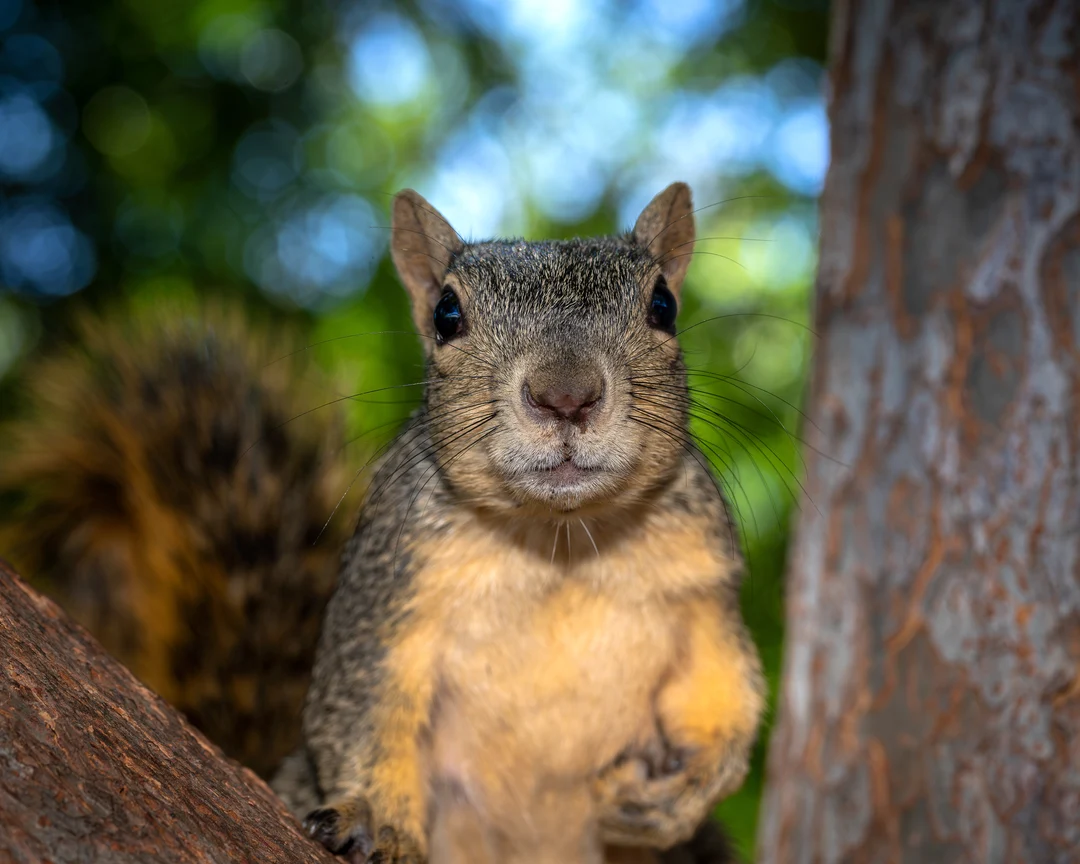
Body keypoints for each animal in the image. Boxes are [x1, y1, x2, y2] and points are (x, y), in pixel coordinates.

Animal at [0, 182, 764, 863]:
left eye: (663, 304)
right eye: (447, 314)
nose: (566, 396)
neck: (560, 541)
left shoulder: (703, 581)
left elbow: (727, 693)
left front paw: (682, 795)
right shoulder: (386, 591)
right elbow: (365, 710)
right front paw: (379, 821)